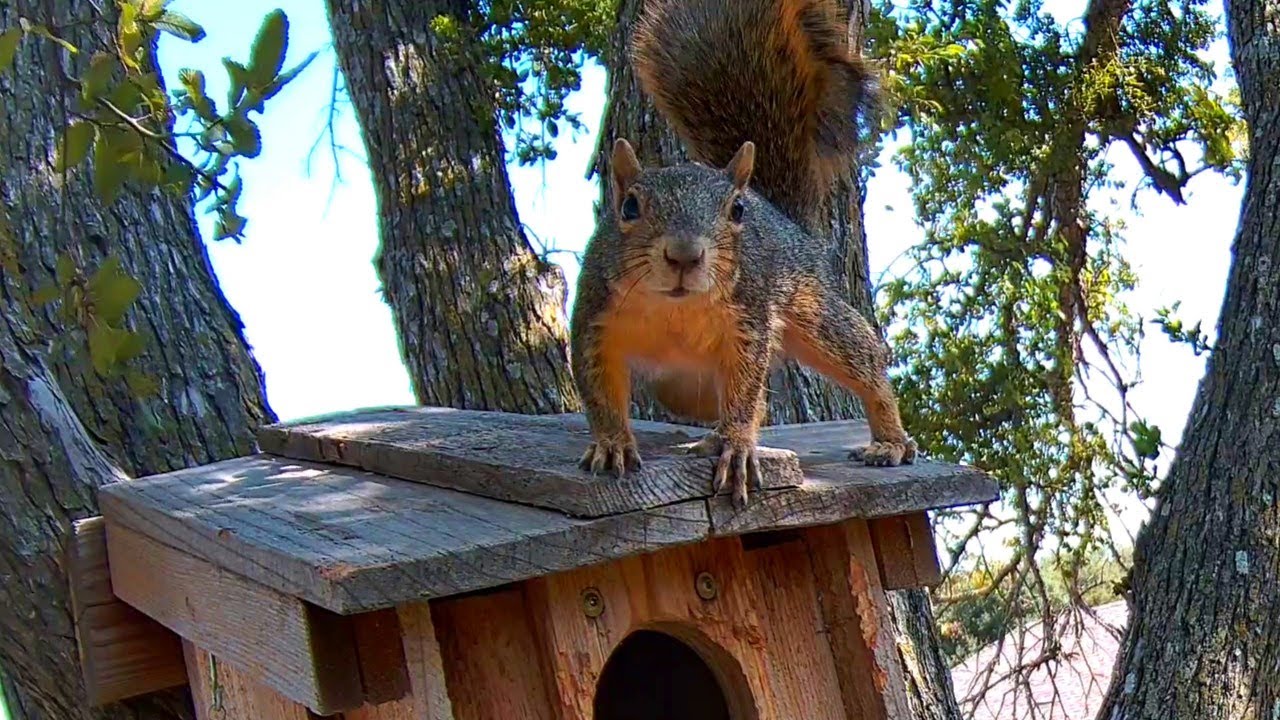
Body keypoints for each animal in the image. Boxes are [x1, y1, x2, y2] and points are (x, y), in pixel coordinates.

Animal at [569, 0, 918, 507]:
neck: (675, 308)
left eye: (735, 211)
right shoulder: (595, 320)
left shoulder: (749, 324)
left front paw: (735, 445)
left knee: (863, 360)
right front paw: (612, 443)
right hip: (683, 386)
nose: (684, 255)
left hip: (813, 311)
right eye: (629, 207)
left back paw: (889, 440)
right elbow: (599, 388)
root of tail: (788, 222)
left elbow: (746, 388)